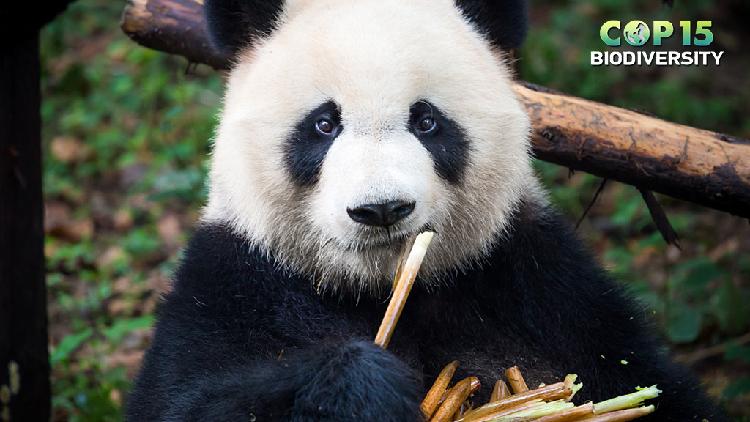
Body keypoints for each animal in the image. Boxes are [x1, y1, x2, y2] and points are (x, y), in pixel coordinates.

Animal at [127, 0, 726, 420]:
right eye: (323, 124)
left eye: (427, 121)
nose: (382, 209)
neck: (381, 287)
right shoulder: (235, 283)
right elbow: (185, 402)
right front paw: (363, 391)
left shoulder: (541, 283)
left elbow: (651, 385)